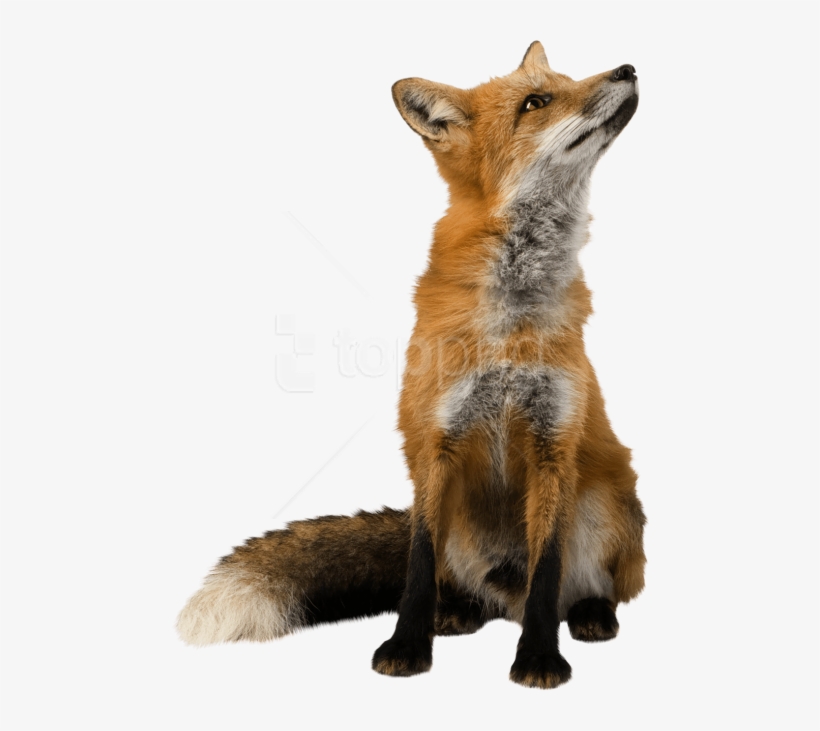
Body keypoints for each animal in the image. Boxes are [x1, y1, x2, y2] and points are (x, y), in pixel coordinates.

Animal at [177, 41, 647, 689]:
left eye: (567, 78)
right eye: (537, 101)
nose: (628, 68)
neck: (508, 325)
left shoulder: (555, 442)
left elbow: (548, 570)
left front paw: (538, 659)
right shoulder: (434, 443)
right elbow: (417, 568)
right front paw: (406, 647)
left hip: (607, 505)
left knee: (578, 589)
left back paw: (589, 613)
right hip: (462, 530)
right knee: (462, 584)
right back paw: (458, 612)